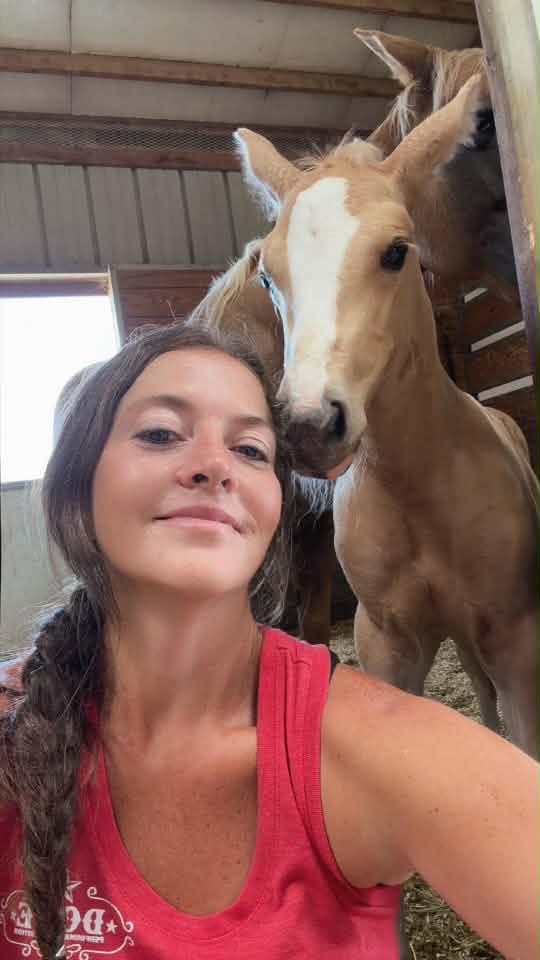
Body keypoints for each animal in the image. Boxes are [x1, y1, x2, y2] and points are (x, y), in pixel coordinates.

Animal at [231, 75, 538, 758]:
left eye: (396, 252)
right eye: (267, 277)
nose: (309, 426)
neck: (417, 491)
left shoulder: (515, 641)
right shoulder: (388, 647)